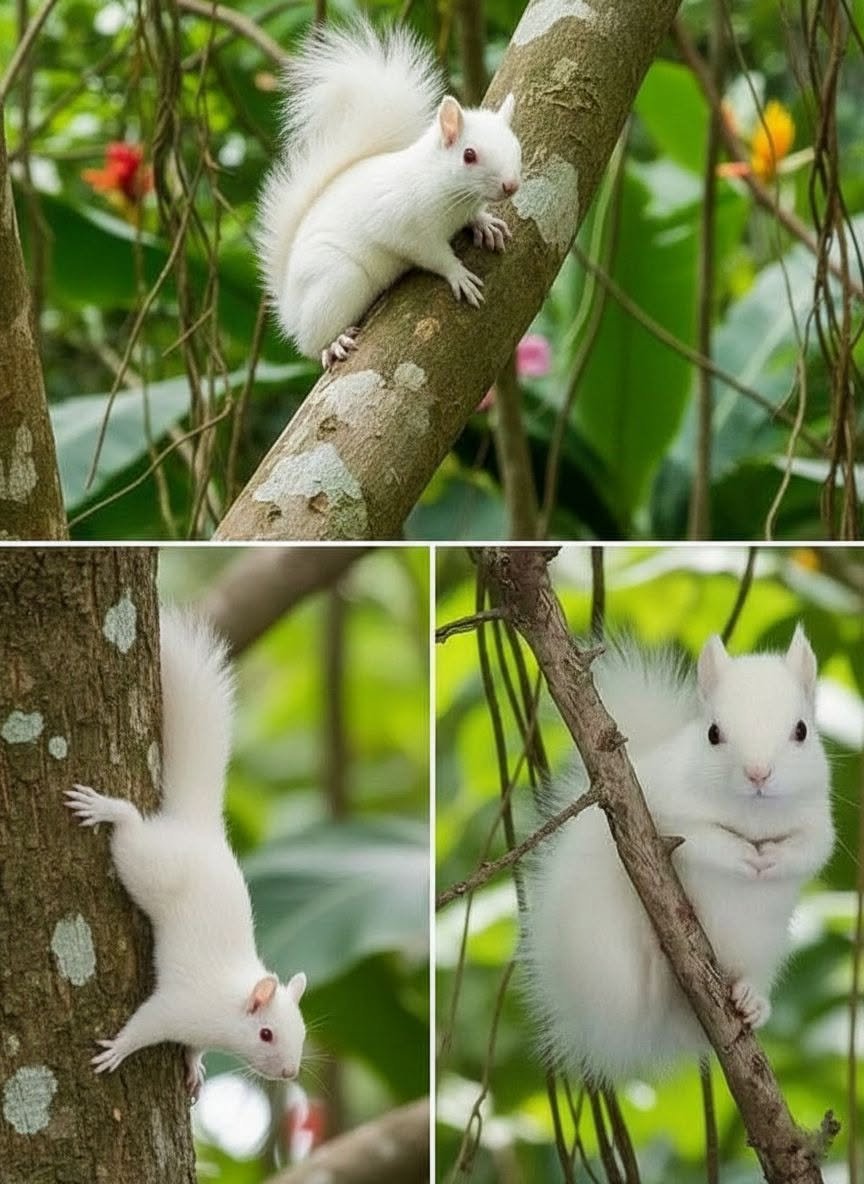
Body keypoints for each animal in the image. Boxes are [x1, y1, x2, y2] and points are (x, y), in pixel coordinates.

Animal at [64, 607, 307, 1099]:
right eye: (266, 1034)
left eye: (303, 1032)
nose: (291, 1072)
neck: (228, 1009)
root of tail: (199, 827)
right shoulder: (182, 1006)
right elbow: (147, 1023)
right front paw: (118, 1048)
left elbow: (191, 1047)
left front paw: (194, 1066)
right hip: (145, 862)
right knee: (130, 828)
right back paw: (107, 809)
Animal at [257, 19, 522, 368]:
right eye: (469, 155)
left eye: (516, 146)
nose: (511, 186)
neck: (448, 190)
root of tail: (289, 306)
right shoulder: (405, 226)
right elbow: (431, 254)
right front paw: (458, 273)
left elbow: (475, 216)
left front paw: (484, 223)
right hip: (337, 280)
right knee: (311, 343)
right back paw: (332, 343)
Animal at [522, 626, 834, 1084]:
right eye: (713, 733)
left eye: (802, 730)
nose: (758, 774)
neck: (754, 814)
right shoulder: (665, 806)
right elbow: (703, 839)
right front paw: (743, 857)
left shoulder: (819, 820)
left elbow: (811, 850)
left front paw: (772, 860)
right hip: (611, 961)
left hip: (765, 947)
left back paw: (752, 1000)